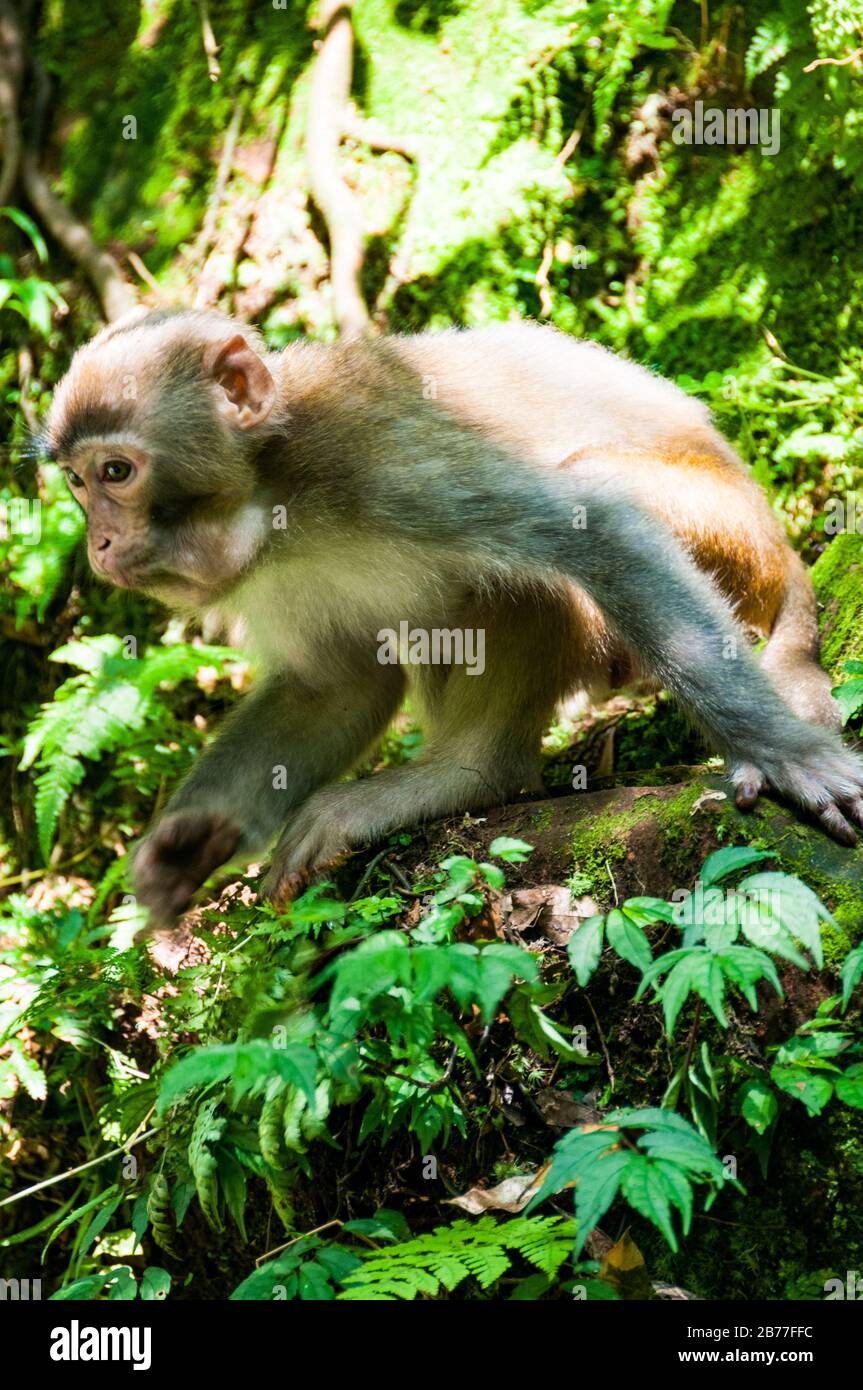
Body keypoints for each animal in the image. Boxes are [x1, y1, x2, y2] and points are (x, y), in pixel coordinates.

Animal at [42, 307, 863, 928]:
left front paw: (786, 754)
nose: (99, 544)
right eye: (78, 483)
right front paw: (190, 841)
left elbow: (592, 524)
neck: (270, 490)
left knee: (544, 546)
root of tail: (776, 539)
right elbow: (337, 682)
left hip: (724, 534)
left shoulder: (378, 458)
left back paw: (466, 775)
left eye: (117, 471)